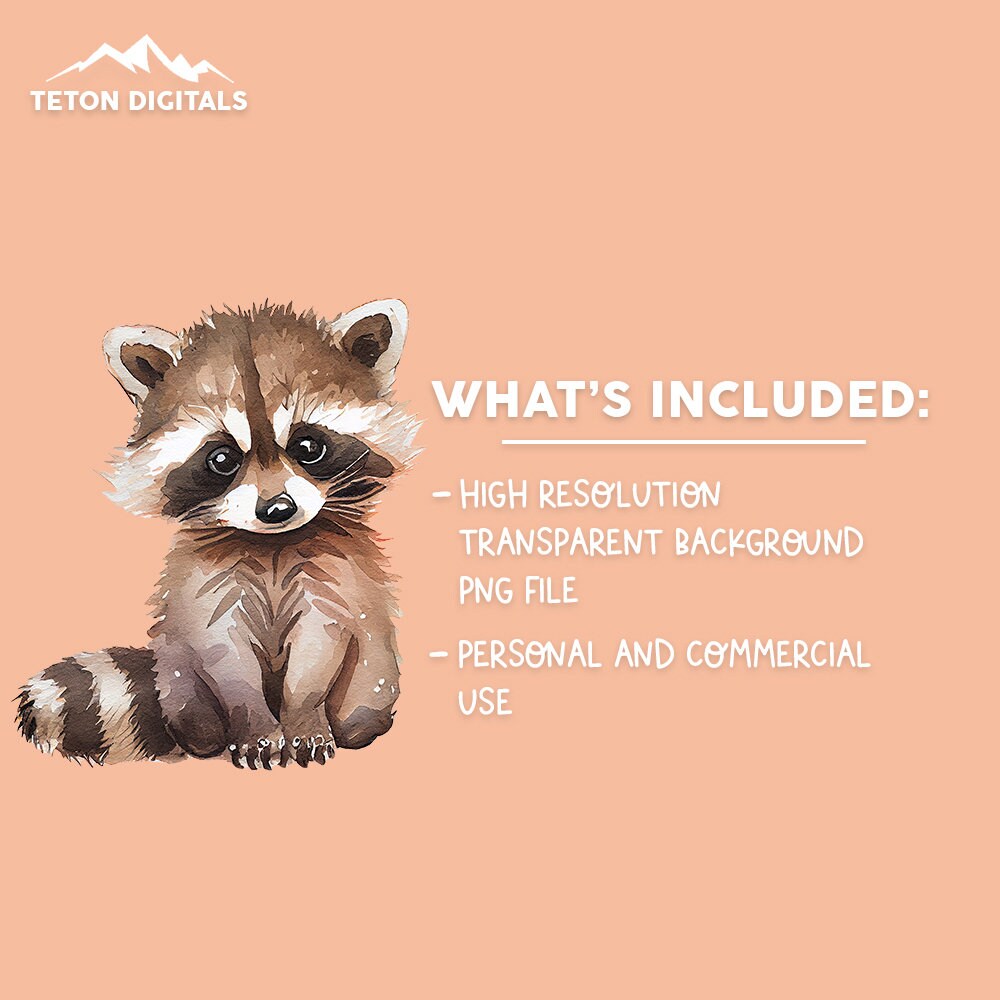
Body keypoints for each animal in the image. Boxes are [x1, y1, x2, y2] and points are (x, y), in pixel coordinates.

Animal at [16, 299, 418, 769]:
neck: (271, 543)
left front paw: (304, 719)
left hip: (375, 674)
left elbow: (318, 649)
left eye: (307, 447)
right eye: (222, 458)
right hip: (175, 680)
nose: (277, 509)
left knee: (360, 707)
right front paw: (256, 728)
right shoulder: (207, 586)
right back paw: (203, 737)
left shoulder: (333, 578)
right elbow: (225, 654)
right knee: (192, 705)